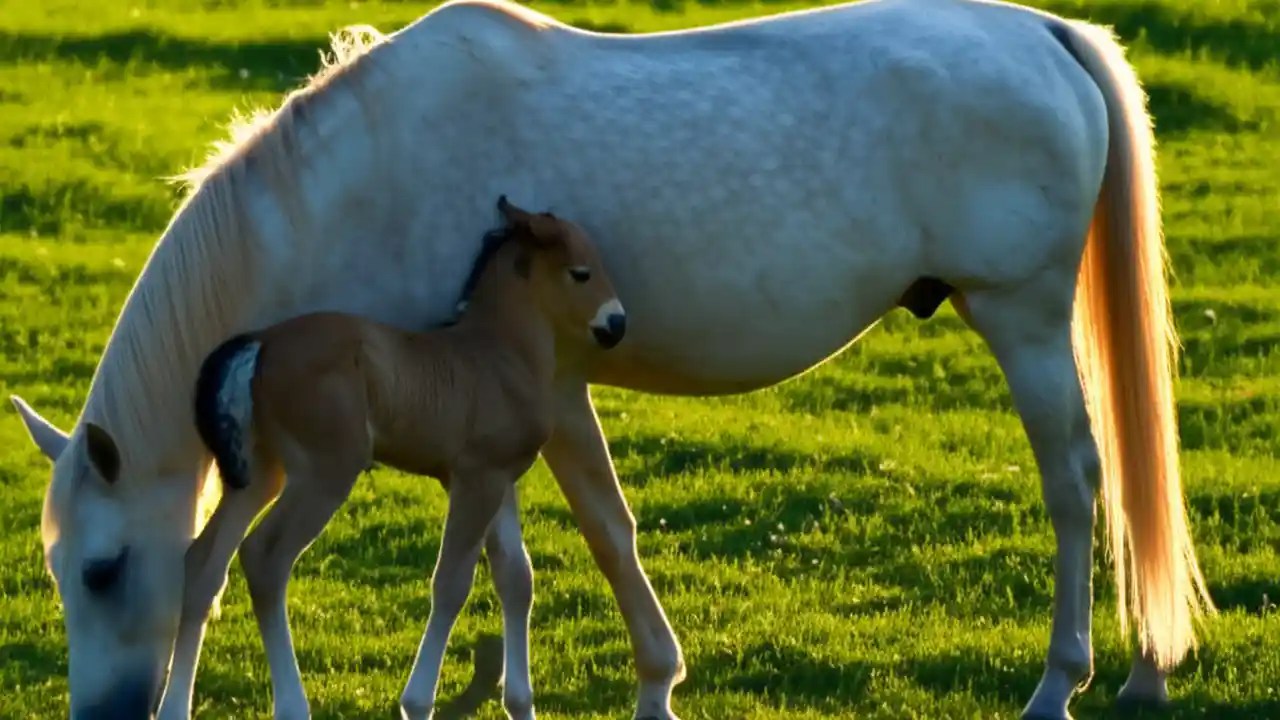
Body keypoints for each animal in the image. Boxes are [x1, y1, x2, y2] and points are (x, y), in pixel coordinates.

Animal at [179, 196, 623, 720]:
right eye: (581, 273)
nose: (616, 324)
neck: (499, 354)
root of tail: (262, 342)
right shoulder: (475, 478)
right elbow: (451, 582)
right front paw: (417, 701)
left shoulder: (500, 479)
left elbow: (517, 578)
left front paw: (520, 703)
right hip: (325, 471)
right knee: (265, 557)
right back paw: (291, 704)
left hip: (262, 470)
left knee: (204, 559)